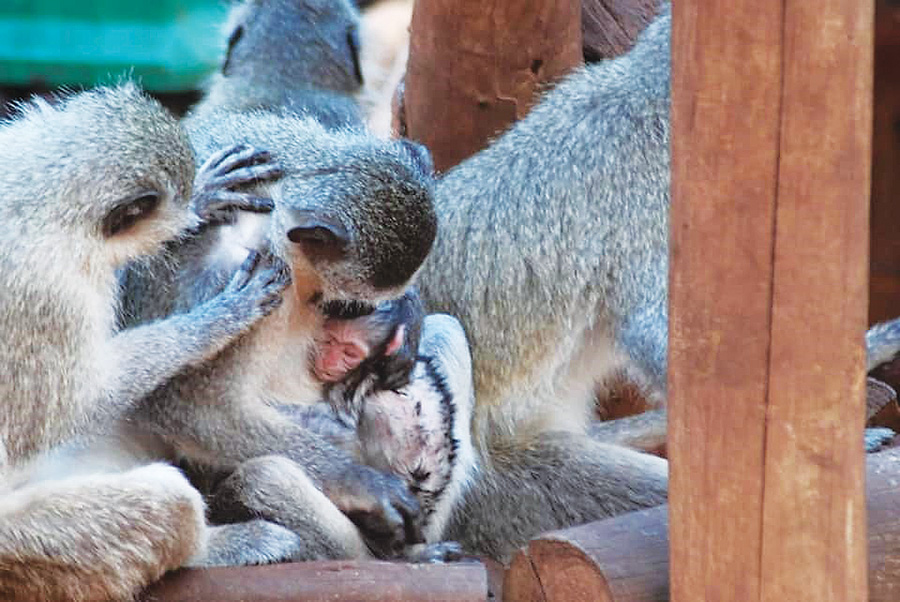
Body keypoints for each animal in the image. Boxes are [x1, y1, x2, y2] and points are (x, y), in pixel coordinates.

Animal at [0, 83, 295, 600]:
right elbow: (69, 409)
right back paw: (218, 547)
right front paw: (212, 322)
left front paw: (205, 197)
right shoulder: (49, 298)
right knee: (168, 502)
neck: (34, 197)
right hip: (16, 551)